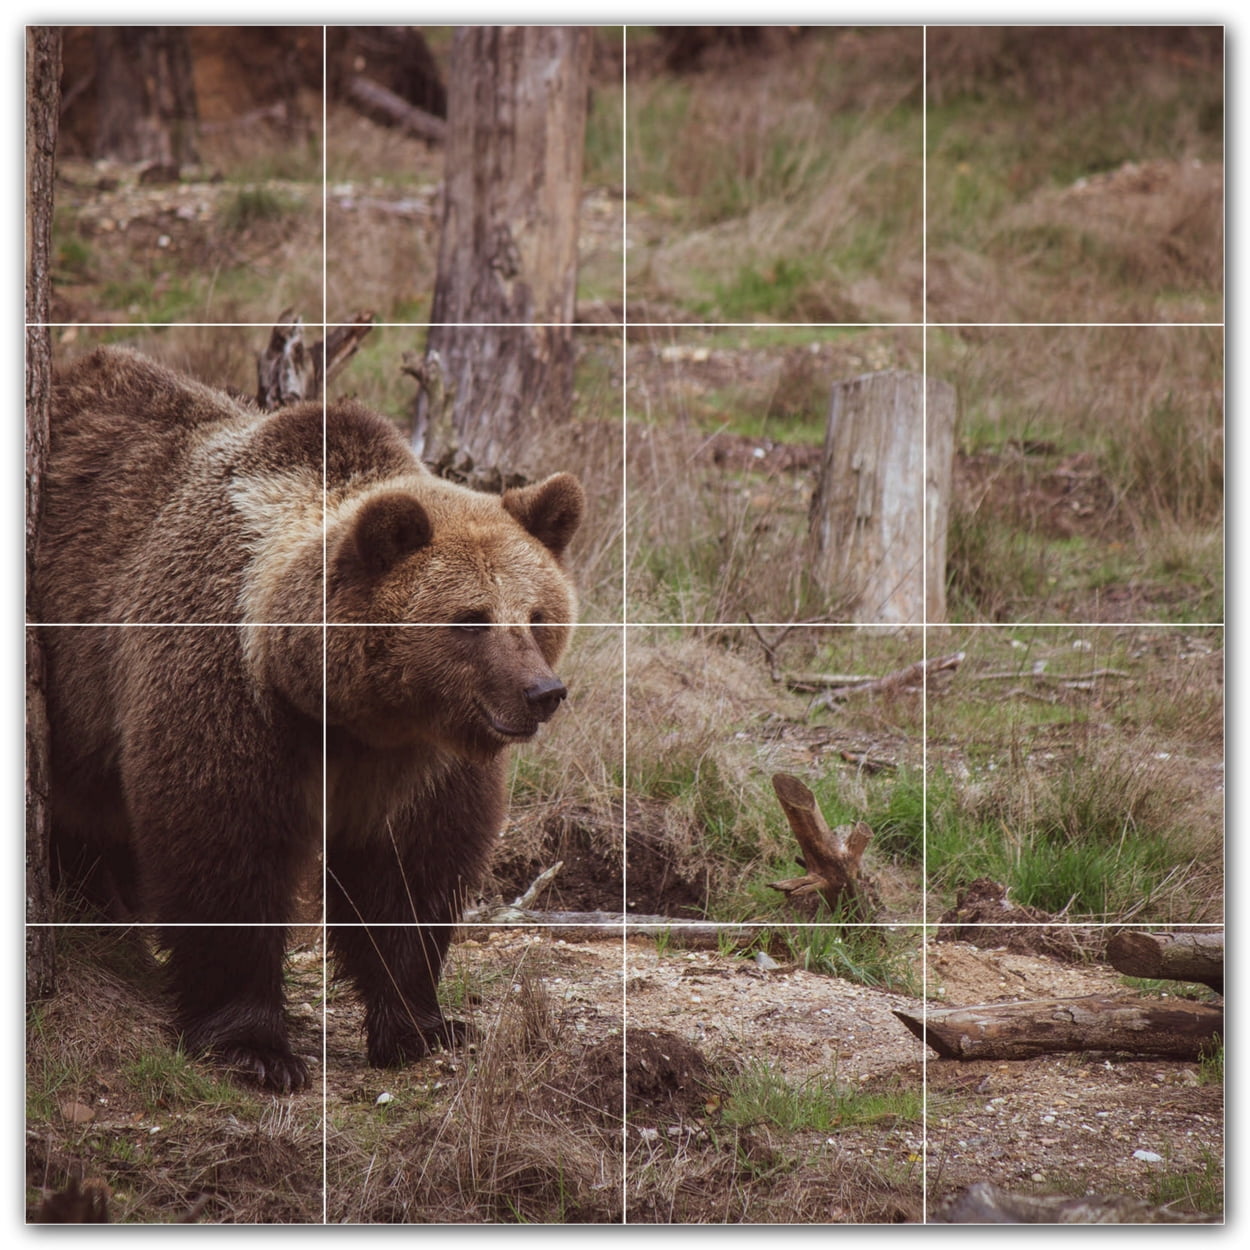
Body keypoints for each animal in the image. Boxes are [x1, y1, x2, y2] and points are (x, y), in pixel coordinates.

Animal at [35, 346, 584, 1092]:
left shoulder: (417, 761)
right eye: (470, 619)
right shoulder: (227, 693)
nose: (541, 693)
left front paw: (422, 1024)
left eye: (536, 614)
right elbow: (225, 849)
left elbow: (409, 871)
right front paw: (255, 1048)